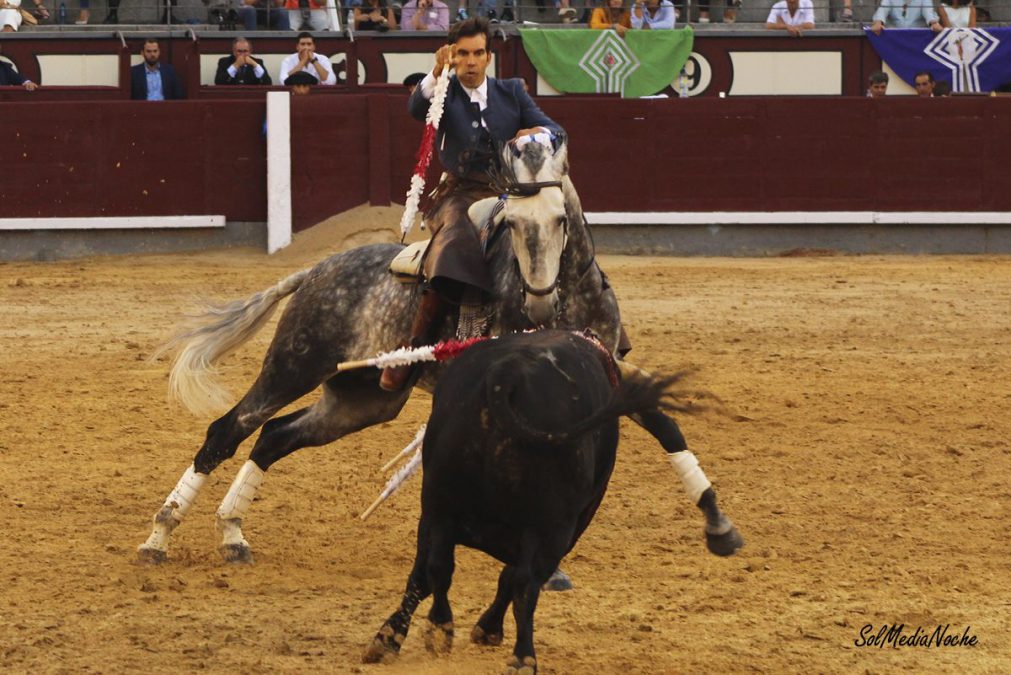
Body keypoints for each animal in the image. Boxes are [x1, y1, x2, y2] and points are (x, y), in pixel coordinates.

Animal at [137, 137, 628, 564]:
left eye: (561, 219)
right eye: (512, 223)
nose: (539, 302)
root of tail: (316, 270)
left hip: (362, 399)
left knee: (275, 436)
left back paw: (232, 533)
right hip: (294, 364)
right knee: (228, 430)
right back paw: (159, 537)